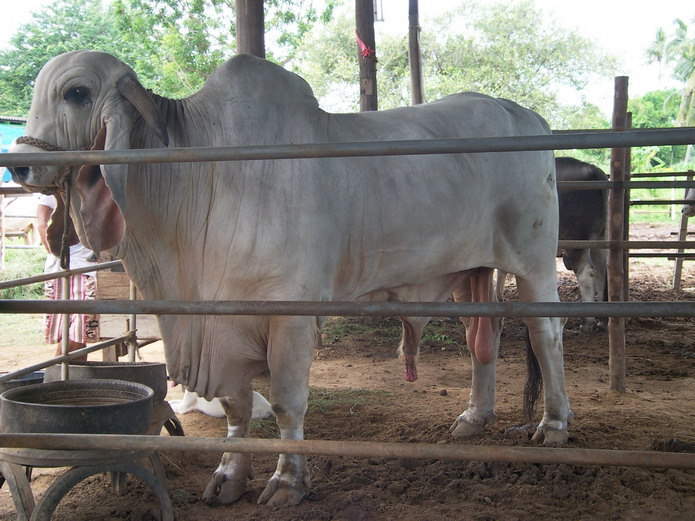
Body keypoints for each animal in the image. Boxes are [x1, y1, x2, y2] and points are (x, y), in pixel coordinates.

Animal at [9, 50, 570, 508]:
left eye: (76, 93)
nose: (18, 166)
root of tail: (524, 114)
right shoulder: (220, 322)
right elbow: (235, 407)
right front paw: (229, 476)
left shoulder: (292, 315)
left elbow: (285, 403)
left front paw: (287, 482)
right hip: (472, 273)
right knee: (483, 338)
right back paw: (475, 417)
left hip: (535, 263)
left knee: (546, 336)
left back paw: (554, 425)